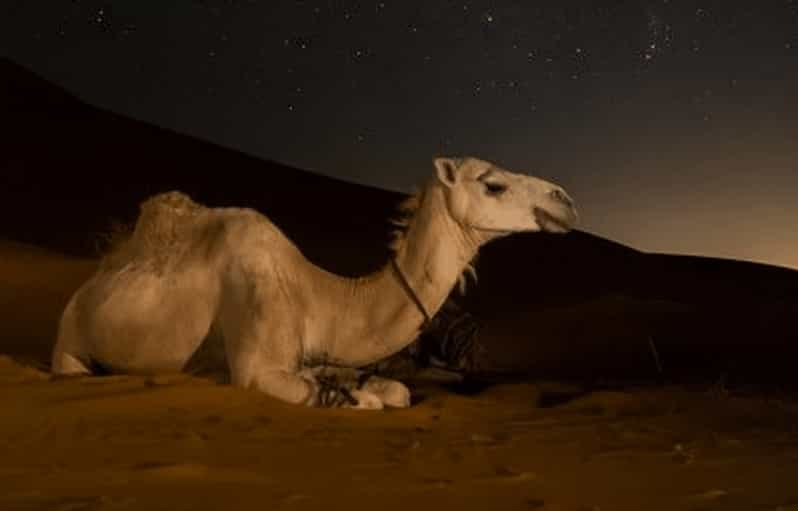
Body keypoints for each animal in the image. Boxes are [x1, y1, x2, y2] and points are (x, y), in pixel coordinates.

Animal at [51, 156, 578, 409]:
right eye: (493, 184)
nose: (565, 200)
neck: (316, 294)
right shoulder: (257, 369)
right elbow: (359, 399)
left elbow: (395, 390)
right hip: (71, 338)